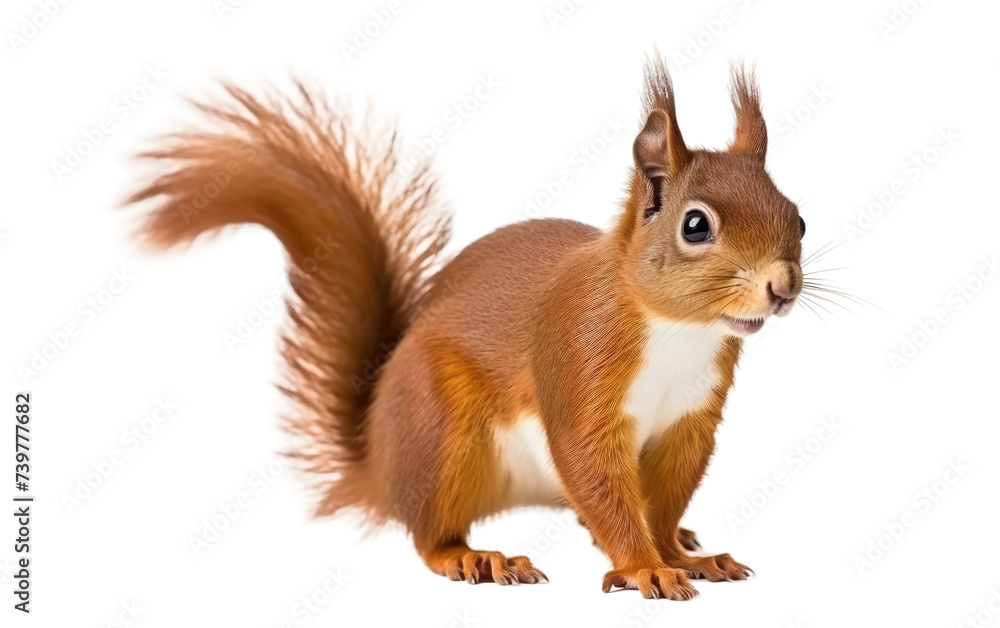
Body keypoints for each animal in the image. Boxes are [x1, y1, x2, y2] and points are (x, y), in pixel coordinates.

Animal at [124, 55, 805, 601]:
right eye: (695, 226)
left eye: (797, 215)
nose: (783, 286)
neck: (678, 332)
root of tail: (382, 466)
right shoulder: (579, 368)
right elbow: (592, 471)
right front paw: (644, 568)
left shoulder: (689, 421)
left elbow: (661, 501)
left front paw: (679, 555)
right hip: (440, 427)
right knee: (430, 534)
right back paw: (475, 556)